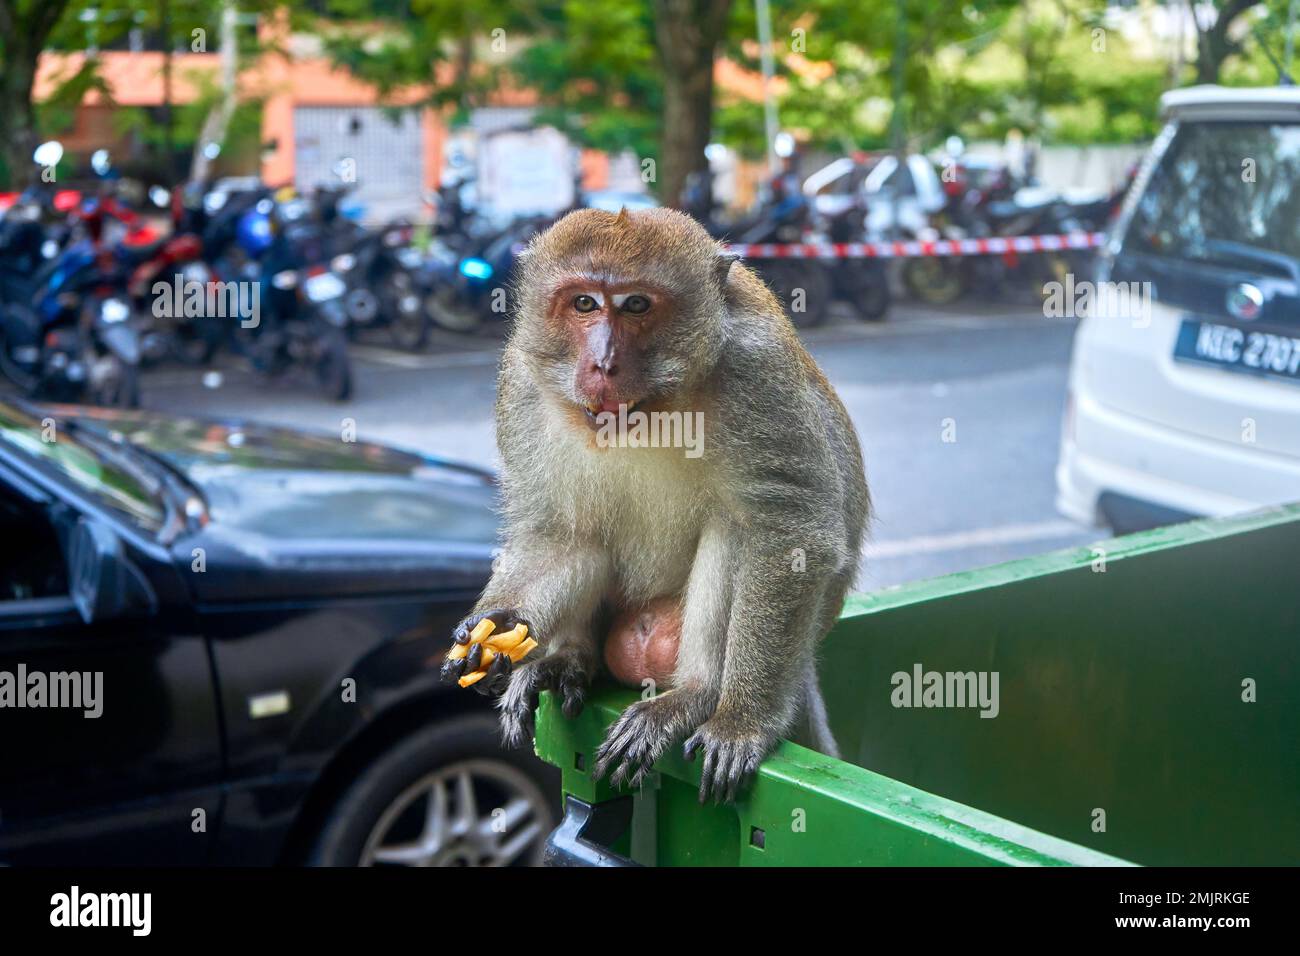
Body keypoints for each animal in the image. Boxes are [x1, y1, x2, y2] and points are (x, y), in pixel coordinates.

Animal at [440, 206, 869, 803]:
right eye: (584, 304)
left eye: (637, 306)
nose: (602, 363)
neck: (654, 406)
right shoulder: (521, 383)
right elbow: (556, 533)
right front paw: (499, 623)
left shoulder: (757, 373)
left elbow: (792, 531)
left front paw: (743, 720)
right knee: (587, 531)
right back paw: (567, 662)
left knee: (736, 526)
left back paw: (695, 695)